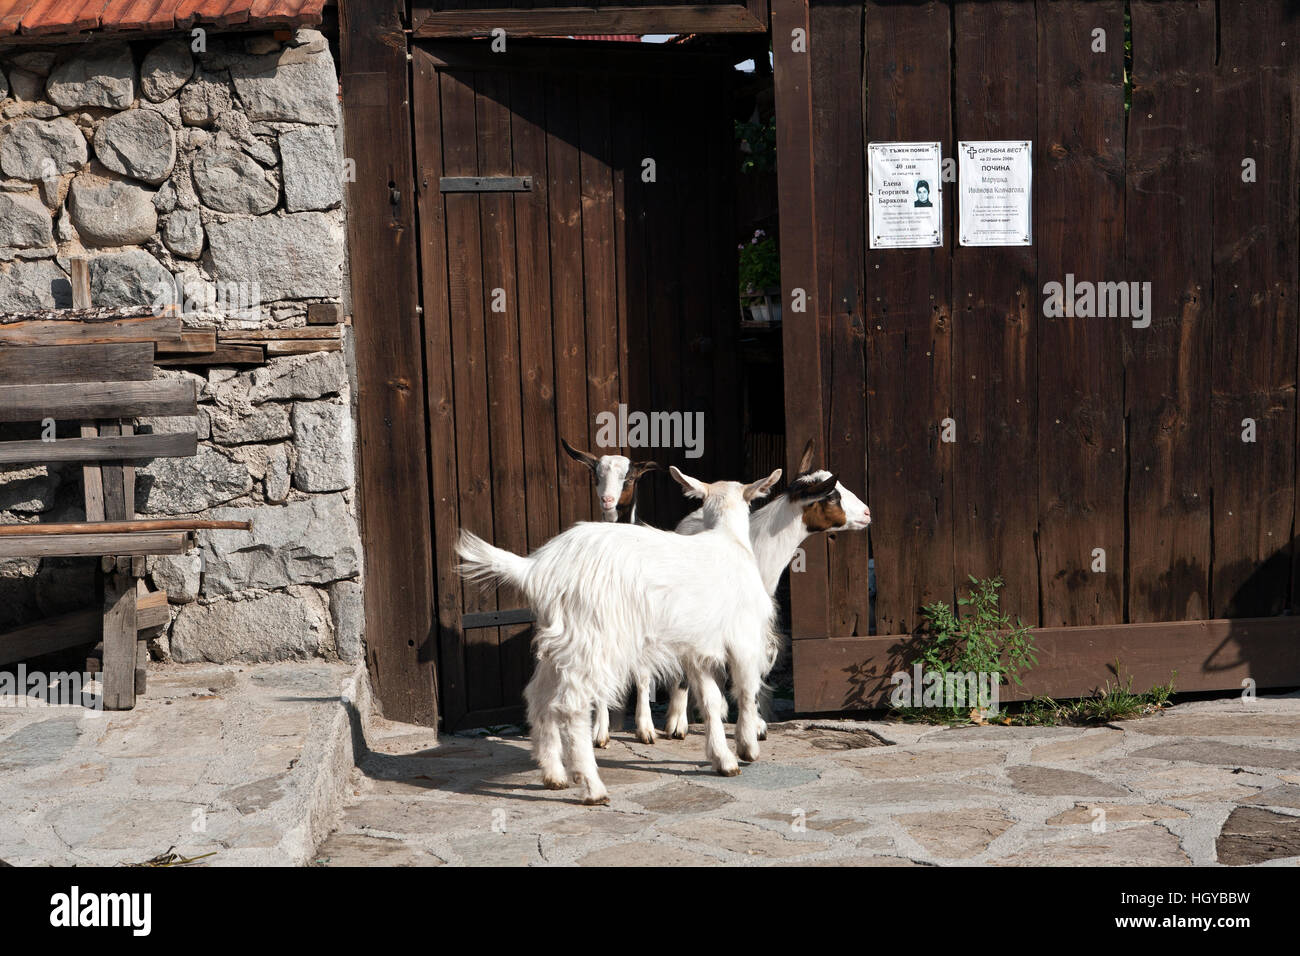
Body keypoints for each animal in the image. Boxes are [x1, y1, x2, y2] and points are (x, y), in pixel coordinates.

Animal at [456, 466, 781, 805]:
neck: (729, 539)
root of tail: (538, 570)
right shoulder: (744, 638)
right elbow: (745, 691)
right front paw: (748, 748)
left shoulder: (697, 650)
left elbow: (710, 702)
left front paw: (722, 758)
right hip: (593, 639)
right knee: (572, 706)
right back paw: (592, 786)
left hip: (561, 641)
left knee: (538, 695)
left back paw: (553, 774)